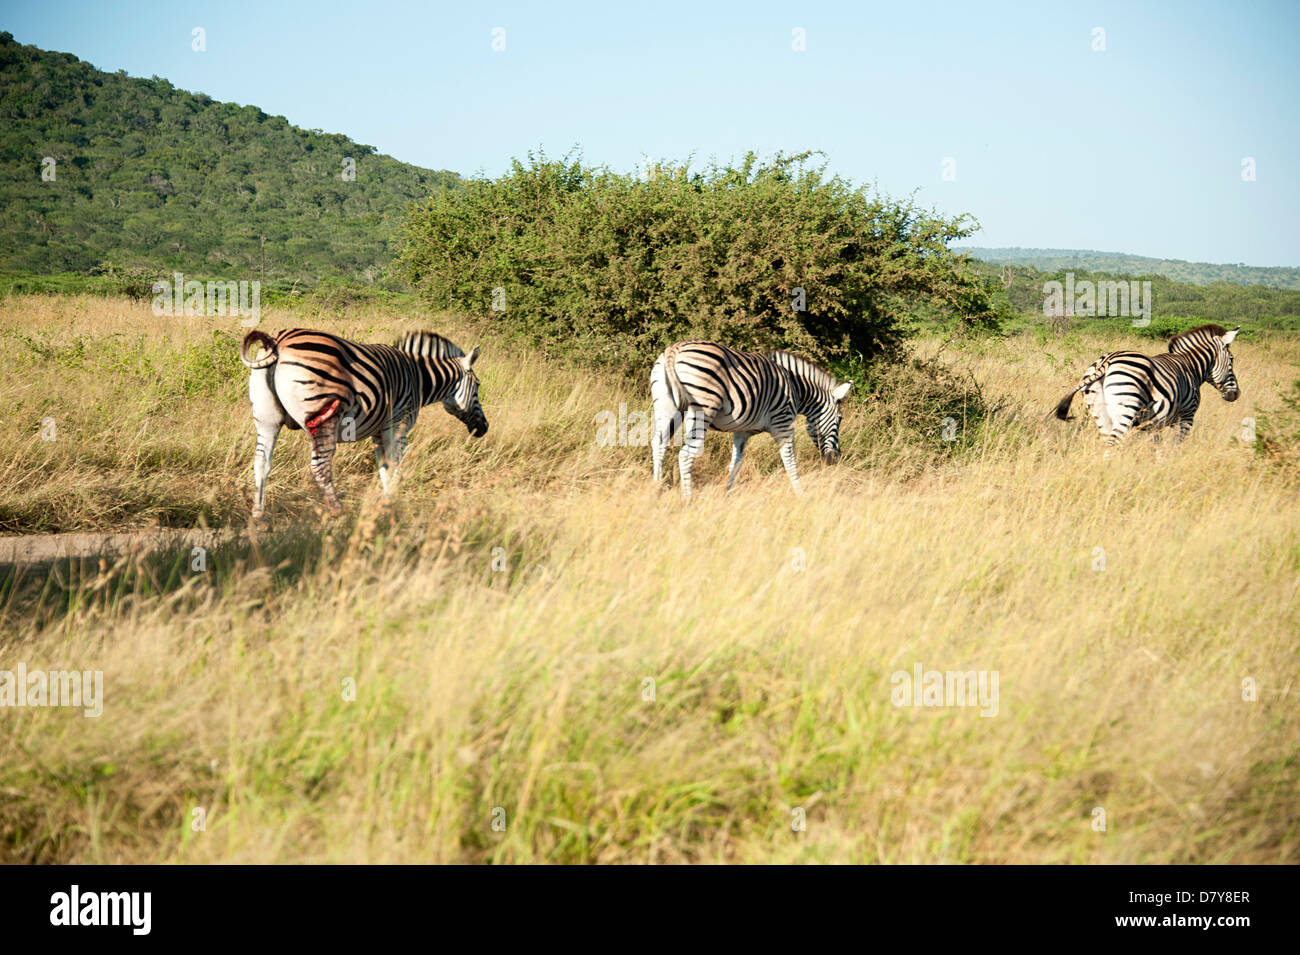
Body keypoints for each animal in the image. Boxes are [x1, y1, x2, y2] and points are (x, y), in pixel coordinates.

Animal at [240, 327, 487, 518]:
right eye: (478, 385)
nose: (484, 429)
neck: (418, 377)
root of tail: (278, 341)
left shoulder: (379, 430)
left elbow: (385, 468)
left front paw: (387, 502)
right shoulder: (398, 424)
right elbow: (396, 466)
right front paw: (393, 505)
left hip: (266, 417)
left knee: (261, 462)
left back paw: (258, 516)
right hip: (324, 414)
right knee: (320, 467)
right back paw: (338, 513)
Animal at [650, 340, 852, 498]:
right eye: (840, 419)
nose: (836, 459)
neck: (796, 388)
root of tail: (674, 349)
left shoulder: (741, 431)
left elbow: (735, 464)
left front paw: (726, 494)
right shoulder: (784, 423)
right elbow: (790, 461)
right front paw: (800, 495)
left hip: (666, 407)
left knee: (659, 445)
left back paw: (656, 490)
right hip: (703, 407)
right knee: (685, 455)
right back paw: (687, 499)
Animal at [1053, 324, 1240, 444]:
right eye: (1232, 360)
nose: (1236, 394)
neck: (1191, 367)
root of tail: (1107, 361)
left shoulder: (1154, 424)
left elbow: (1156, 446)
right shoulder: (1188, 415)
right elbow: (1176, 444)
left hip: (1099, 410)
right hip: (1126, 406)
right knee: (1113, 442)